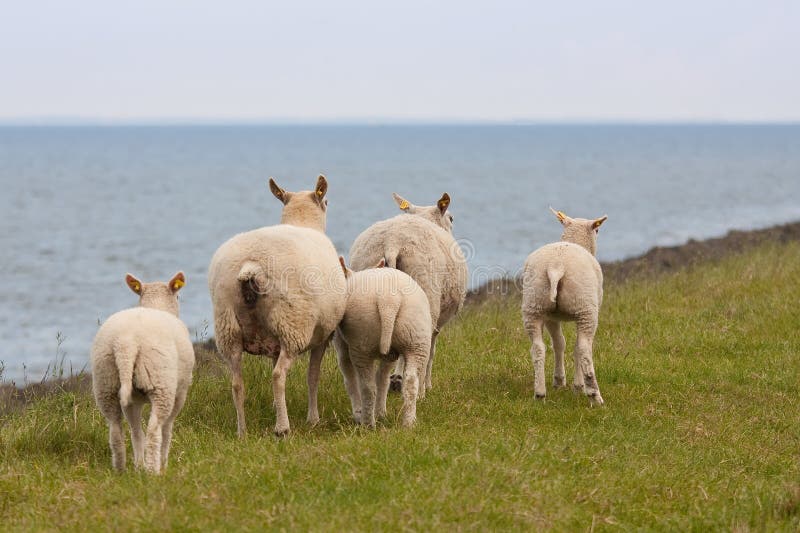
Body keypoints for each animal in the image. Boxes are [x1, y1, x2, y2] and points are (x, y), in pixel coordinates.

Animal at [91, 272, 195, 474]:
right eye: (178, 296)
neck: (156, 305)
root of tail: (126, 342)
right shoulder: (180, 393)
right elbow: (167, 428)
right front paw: (164, 463)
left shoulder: (134, 400)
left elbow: (136, 431)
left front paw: (139, 464)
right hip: (161, 382)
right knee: (155, 430)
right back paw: (154, 470)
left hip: (106, 382)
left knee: (117, 430)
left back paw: (123, 469)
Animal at [207, 175, 346, 437]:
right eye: (327, 203)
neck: (302, 221)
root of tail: (250, 266)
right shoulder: (323, 335)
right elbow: (313, 376)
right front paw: (313, 418)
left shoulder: (274, 341)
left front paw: (275, 406)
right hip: (293, 323)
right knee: (278, 375)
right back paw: (283, 429)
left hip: (228, 327)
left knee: (237, 383)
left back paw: (242, 432)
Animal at [333, 257, 432, 428]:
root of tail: (389, 299)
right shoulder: (391, 356)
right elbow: (383, 379)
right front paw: (381, 413)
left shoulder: (342, 348)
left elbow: (350, 380)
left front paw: (359, 413)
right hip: (416, 337)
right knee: (411, 381)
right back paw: (409, 423)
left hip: (362, 340)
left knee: (367, 387)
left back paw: (367, 423)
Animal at [347, 192, 467, 393]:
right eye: (451, 218)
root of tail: (392, 242)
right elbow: (431, 351)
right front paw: (427, 384)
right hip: (427, 294)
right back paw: (419, 390)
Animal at [521, 208, 608, 405]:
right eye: (597, 230)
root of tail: (556, 267)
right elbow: (575, 347)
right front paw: (578, 386)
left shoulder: (551, 317)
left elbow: (559, 343)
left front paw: (559, 381)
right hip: (585, 308)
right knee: (583, 348)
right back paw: (594, 395)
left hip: (534, 305)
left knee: (538, 348)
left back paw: (540, 393)